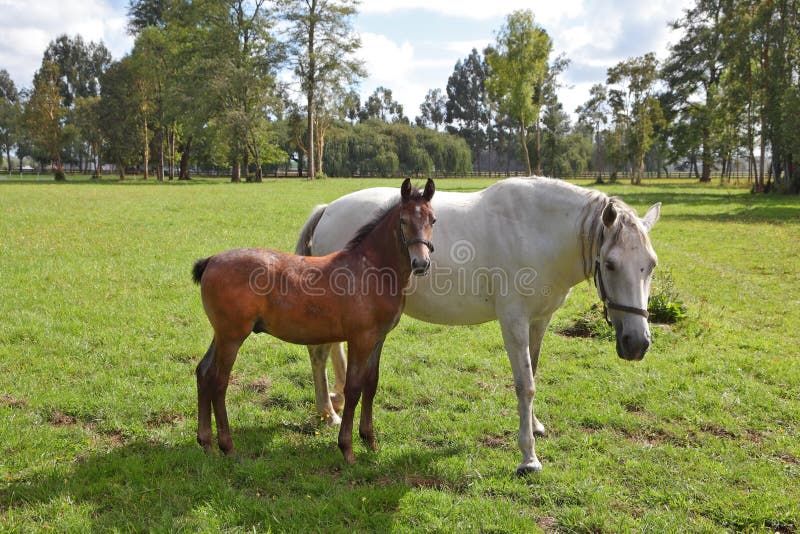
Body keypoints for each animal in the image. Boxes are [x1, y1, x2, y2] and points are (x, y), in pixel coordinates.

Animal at [193, 178, 436, 464]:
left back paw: (206, 443)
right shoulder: (360, 338)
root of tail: (211, 261)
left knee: (203, 373)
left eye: (432, 219)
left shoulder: (378, 338)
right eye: (403, 220)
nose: (421, 263)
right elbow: (353, 388)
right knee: (219, 381)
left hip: (221, 334)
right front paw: (347, 449)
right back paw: (227, 446)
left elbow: (371, 384)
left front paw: (370, 441)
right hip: (232, 336)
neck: (371, 271)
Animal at [295, 177, 660, 474]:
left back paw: (335, 402)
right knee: (319, 354)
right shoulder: (513, 321)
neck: (537, 233)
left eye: (651, 264)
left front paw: (535, 426)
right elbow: (525, 385)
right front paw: (529, 458)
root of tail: (328, 210)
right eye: (610, 264)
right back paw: (328, 413)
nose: (637, 343)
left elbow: (533, 372)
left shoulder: (539, 320)